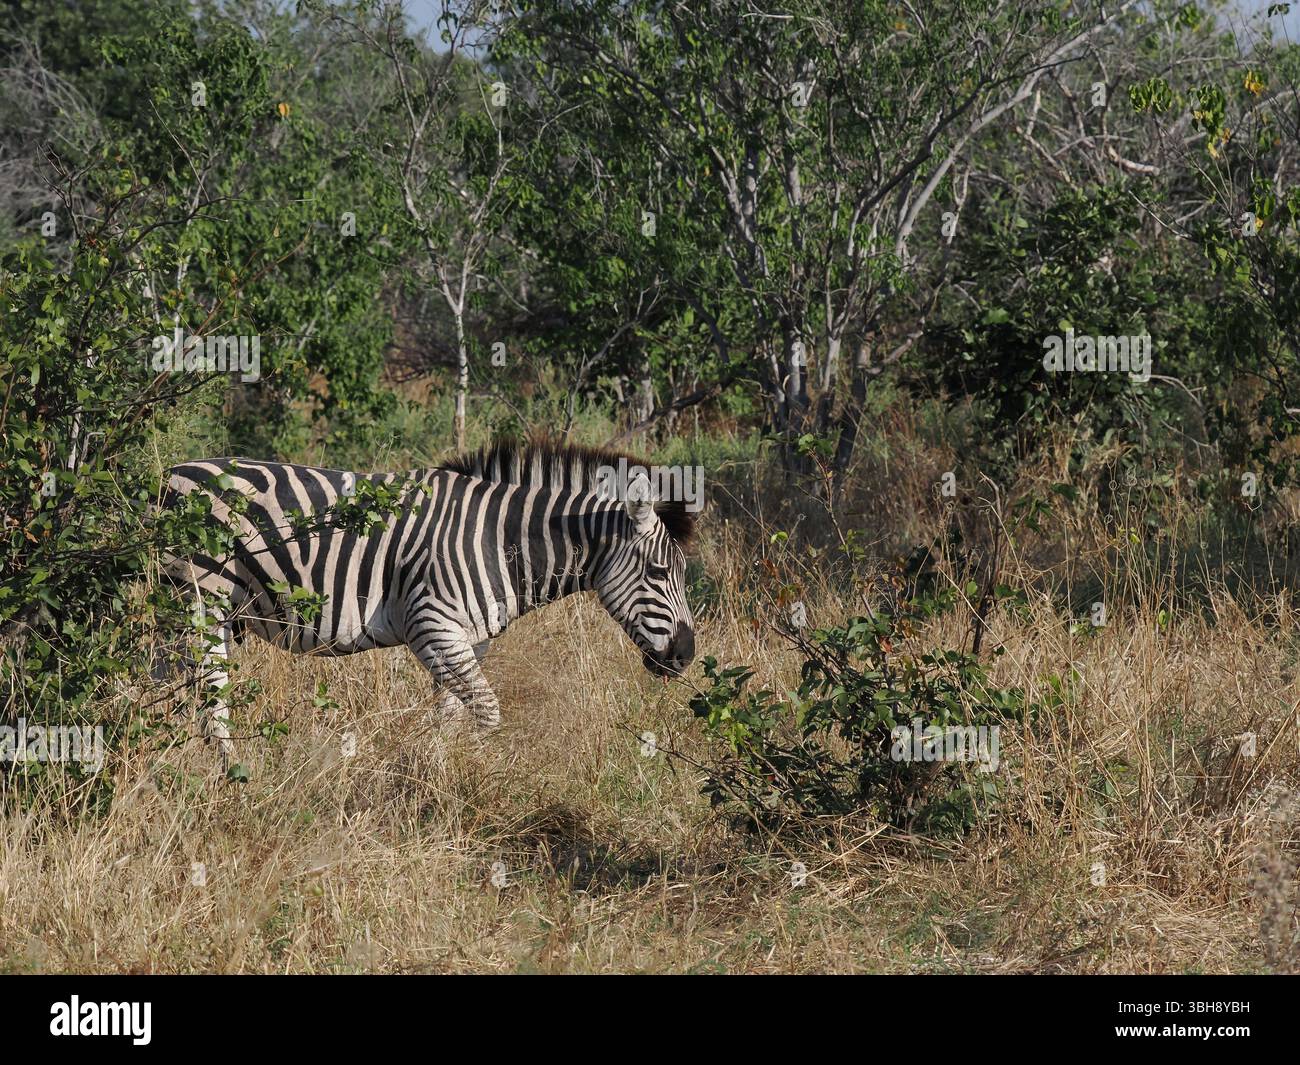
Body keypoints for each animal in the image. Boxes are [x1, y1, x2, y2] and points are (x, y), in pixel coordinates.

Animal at [158, 440, 697, 767]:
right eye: (659, 573)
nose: (687, 655)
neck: (498, 541)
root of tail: (171, 473)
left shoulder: (466, 640)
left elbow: (451, 716)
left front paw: (431, 776)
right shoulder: (430, 624)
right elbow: (487, 713)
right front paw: (459, 772)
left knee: (173, 683)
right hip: (200, 598)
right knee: (209, 693)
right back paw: (229, 775)